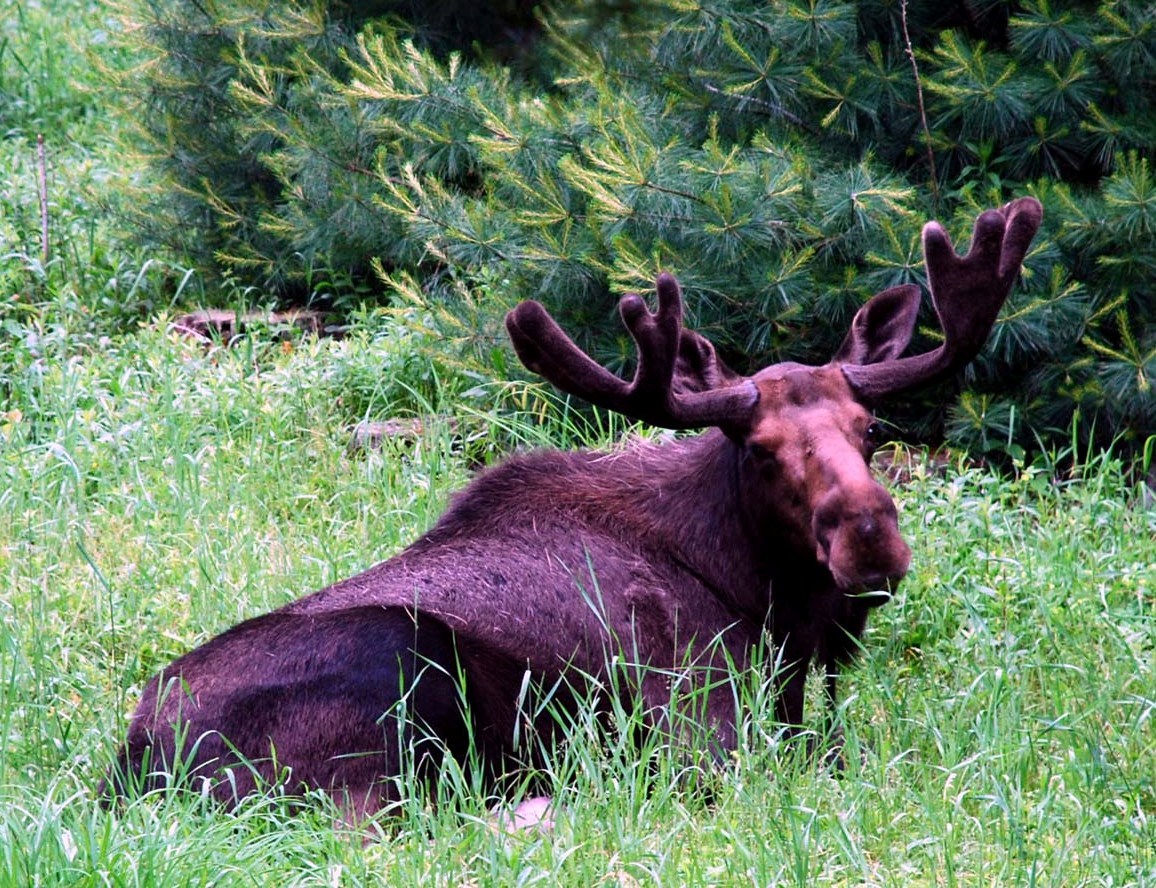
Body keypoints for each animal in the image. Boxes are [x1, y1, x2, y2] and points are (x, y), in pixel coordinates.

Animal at [103, 197, 1042, 819]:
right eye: (760, 449)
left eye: (871, 427)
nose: (870, 538)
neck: (764, 598)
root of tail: (136, 764)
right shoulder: (707, 728)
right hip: (403, 678)